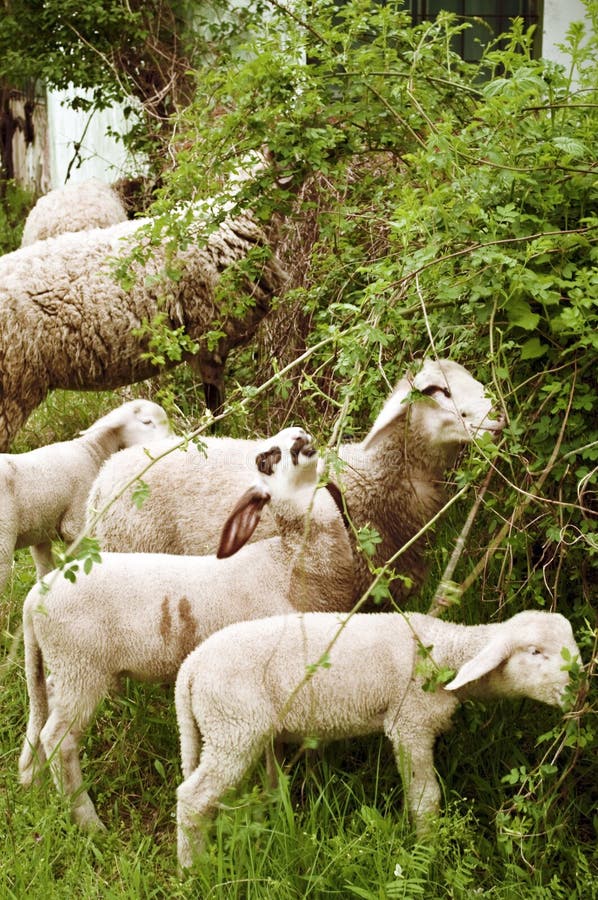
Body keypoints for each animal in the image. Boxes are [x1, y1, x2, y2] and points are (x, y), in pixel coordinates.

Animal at [0, 399, 171, 596]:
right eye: (147, 422)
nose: (172, 442)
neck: (93, 452)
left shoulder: (41, 530)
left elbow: (44, 570)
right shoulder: (75, 524)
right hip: (4, 537)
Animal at [18, 426, 355, 830]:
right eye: (265, 459)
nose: (301, 437)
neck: (294, 562)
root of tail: (36, 595)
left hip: (68, 667)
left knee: (46, 707)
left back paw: (39, 782)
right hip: (80, 668)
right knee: (59, 738)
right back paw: (88, 821)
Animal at [174, 608, 580, 868]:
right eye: (535, 652)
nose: (580, 687)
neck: (444, 651)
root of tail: (190, 667)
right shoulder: (409, 724)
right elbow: (425, 800)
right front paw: (427, 856)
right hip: (233, 728)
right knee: (193, 799)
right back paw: (193, 871)